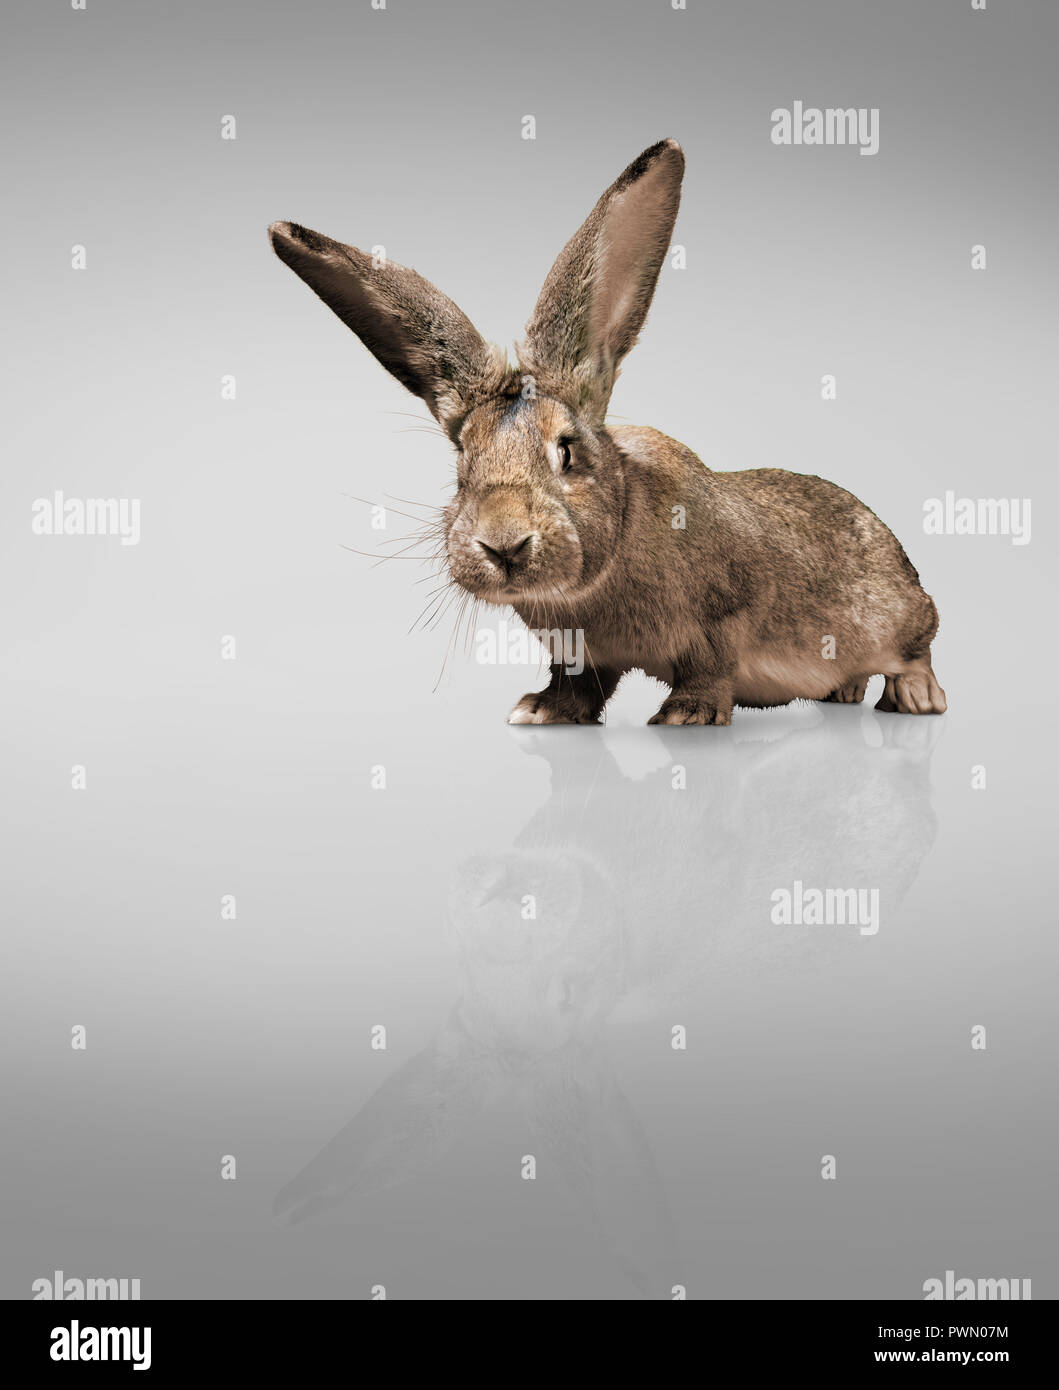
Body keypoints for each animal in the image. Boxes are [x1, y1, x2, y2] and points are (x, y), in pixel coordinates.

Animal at [269, 139, 947, 726]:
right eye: (462, 463)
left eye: (567, 452)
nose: (504, 544)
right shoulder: (579, 653)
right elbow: (578, 683)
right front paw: (541, 711)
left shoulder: (725, 616)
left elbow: (711, 664)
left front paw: (685, 715)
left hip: (903, 617)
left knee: (918, 651)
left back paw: (914, 700)